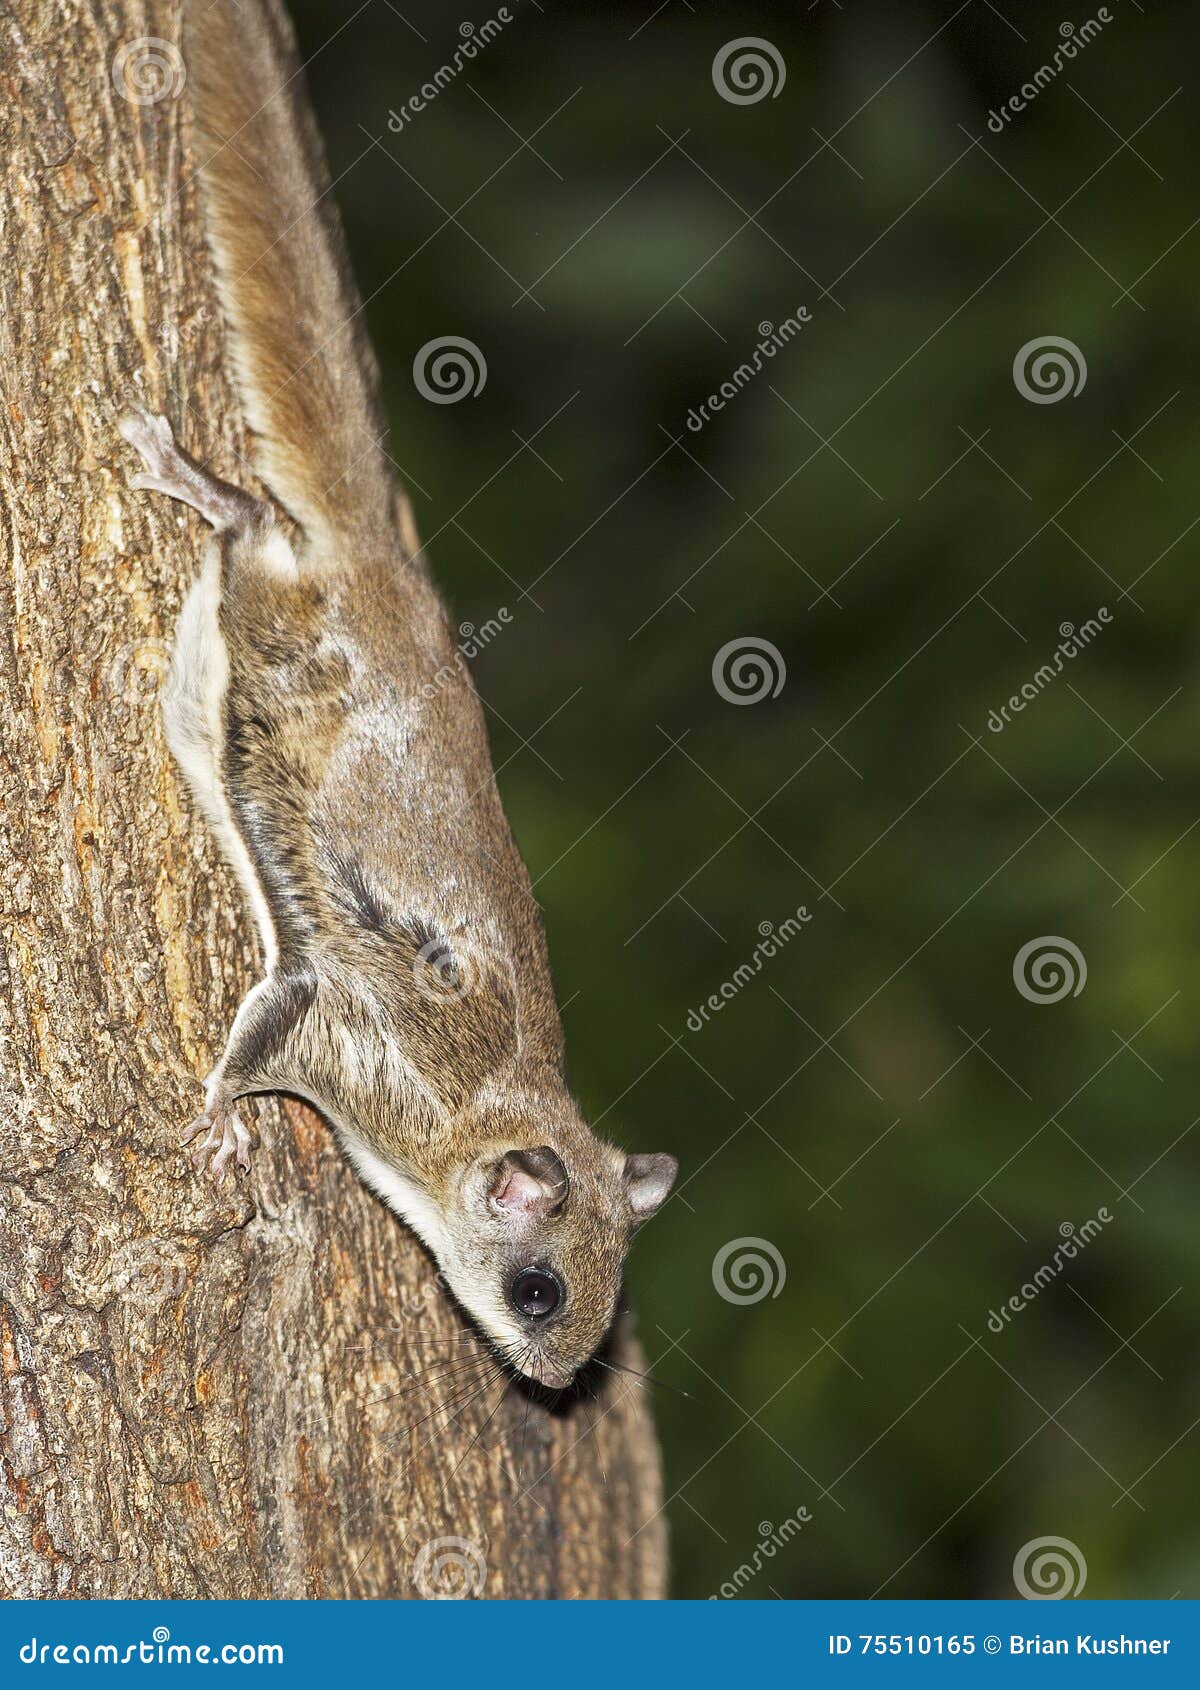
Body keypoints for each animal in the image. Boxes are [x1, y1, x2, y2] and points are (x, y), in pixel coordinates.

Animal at [118, 0, 676, 1390]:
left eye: (596, 1314)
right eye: (538, 1289)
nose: (553, 1386)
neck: (485, 1110)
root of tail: (382, 564)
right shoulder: (343, 1038)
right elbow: (259, 1040)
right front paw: (217, 1122)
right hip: (277, 611)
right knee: (249, 521)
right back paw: (189, 477)